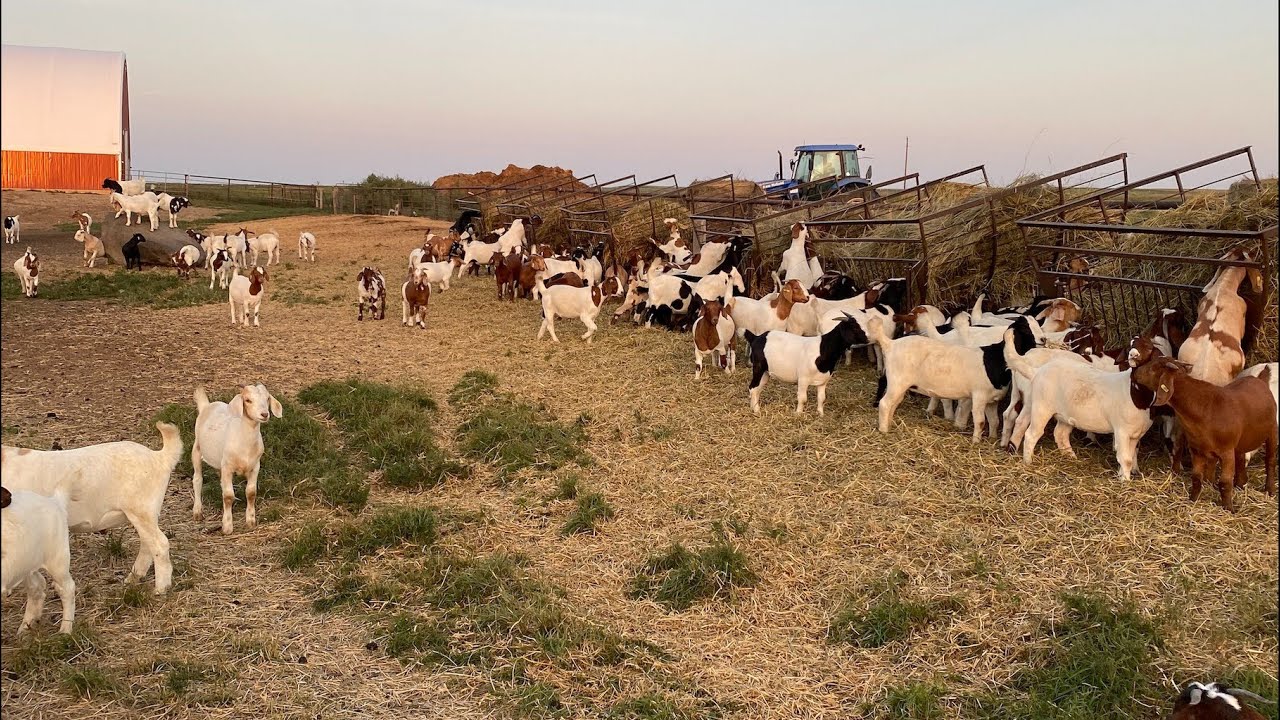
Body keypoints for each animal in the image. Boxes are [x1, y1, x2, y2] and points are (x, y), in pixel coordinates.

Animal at [1, 487, 75, 634]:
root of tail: (54, 501)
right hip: (26, 563)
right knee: (37, 586)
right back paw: (25, 627)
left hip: (57, 558)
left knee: (67, 589)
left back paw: (65, 629)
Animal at [2, 422, 183, 593]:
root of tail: (159, 457)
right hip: (146, 512)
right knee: (147, 543)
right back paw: (133, 578)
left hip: (140, 509)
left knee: (160, 543)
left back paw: (161, 588)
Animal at [192, 385, 282, 534]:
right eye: (248, 400)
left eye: (267, 398)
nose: (264, 414)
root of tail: (207, 405)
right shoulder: (228, 467)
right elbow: (228, 496)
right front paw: (227, 526)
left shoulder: (255, 466)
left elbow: (251, 492)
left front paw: (251, 521)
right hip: (197, 449)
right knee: (198, 479)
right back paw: (197, 512)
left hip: (220, 462)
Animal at [1133, 357, 1277, 511]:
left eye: (1153, 368)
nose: (1136, 372)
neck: (1203, 407)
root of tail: (1260, 379)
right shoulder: (1197, 450)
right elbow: (1196, 478)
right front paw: (1192, 500)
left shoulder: (1227, 451)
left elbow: (1225, 482)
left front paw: (1228, 508)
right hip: (1240, 441)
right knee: (1241, 459)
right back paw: (1240, 484)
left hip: (1272, 431)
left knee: (1270, 460)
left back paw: (1269, 490)